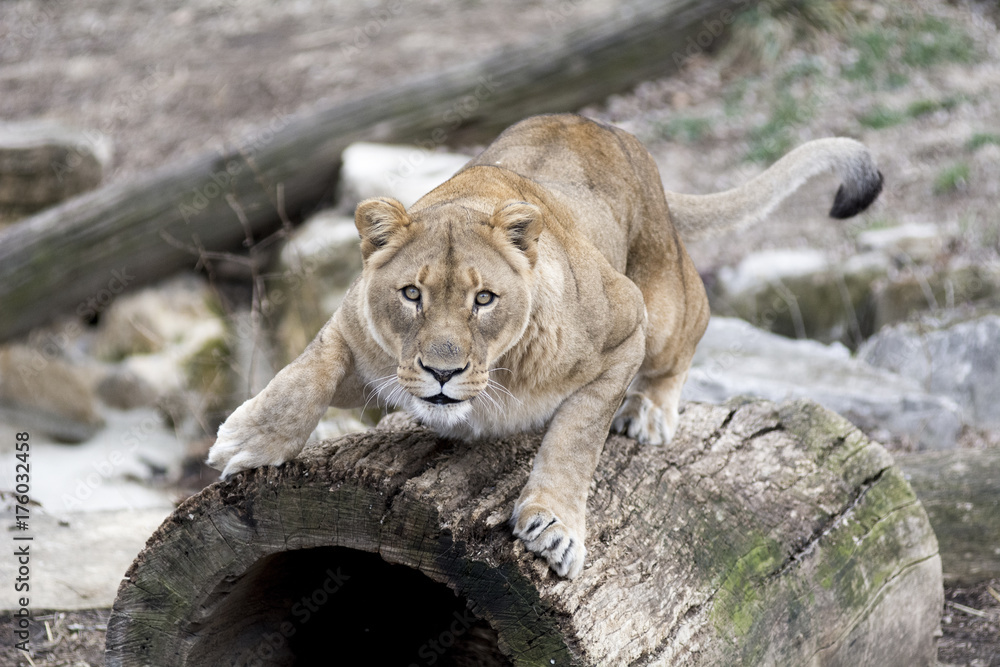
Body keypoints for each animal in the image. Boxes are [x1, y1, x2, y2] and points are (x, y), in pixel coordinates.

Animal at [208, 113, 882, 578]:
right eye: (411, 294)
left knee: (695, 327)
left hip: (665, 308)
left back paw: (651, 412)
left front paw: (554, 526)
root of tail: (618, 134)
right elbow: (307, 368)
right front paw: (249, 439)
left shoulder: (625, 327)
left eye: (484, 299)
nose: (442, 372)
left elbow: (576, 436)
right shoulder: (357, 333)